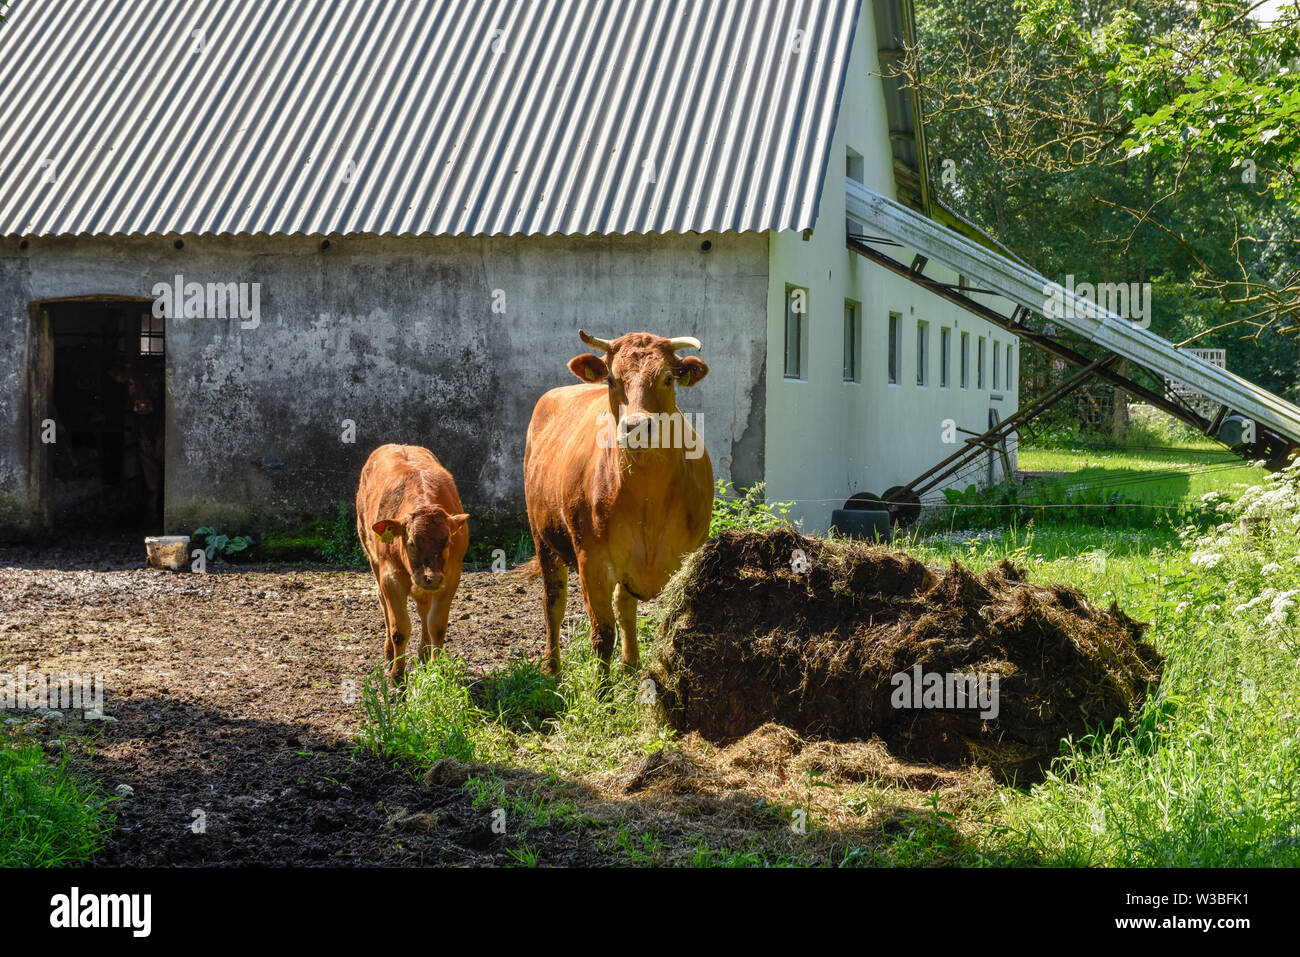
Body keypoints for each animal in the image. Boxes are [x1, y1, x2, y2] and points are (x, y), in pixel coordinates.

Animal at [107, 361, 164, 522]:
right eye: (130, 382)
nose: (143, 405)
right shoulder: (144, 455)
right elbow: (152, 487)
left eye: (156, 382)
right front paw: (151, 516)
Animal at [356, 444, 470, 683]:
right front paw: (397, 678)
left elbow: (437, 626)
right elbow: (399, 629)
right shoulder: (390, 578)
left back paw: (424, 653)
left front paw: (436, 668)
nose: (430, 577)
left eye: (447, 541)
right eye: (410, 543)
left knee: (423, 608)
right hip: (372, 558)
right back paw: (389, 653)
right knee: (384, 603)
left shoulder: (450, 577)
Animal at [523, 330, 713, 677]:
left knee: (624, 605)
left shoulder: (688, 558)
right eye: (612, 380)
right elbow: (602, 633)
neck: (648, 495)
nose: (637, 426)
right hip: (543, 538)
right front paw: (602, 690)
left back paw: (630, 665)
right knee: (553, 603)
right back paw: (552, 668)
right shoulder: (592, 560)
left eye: (668, 378)